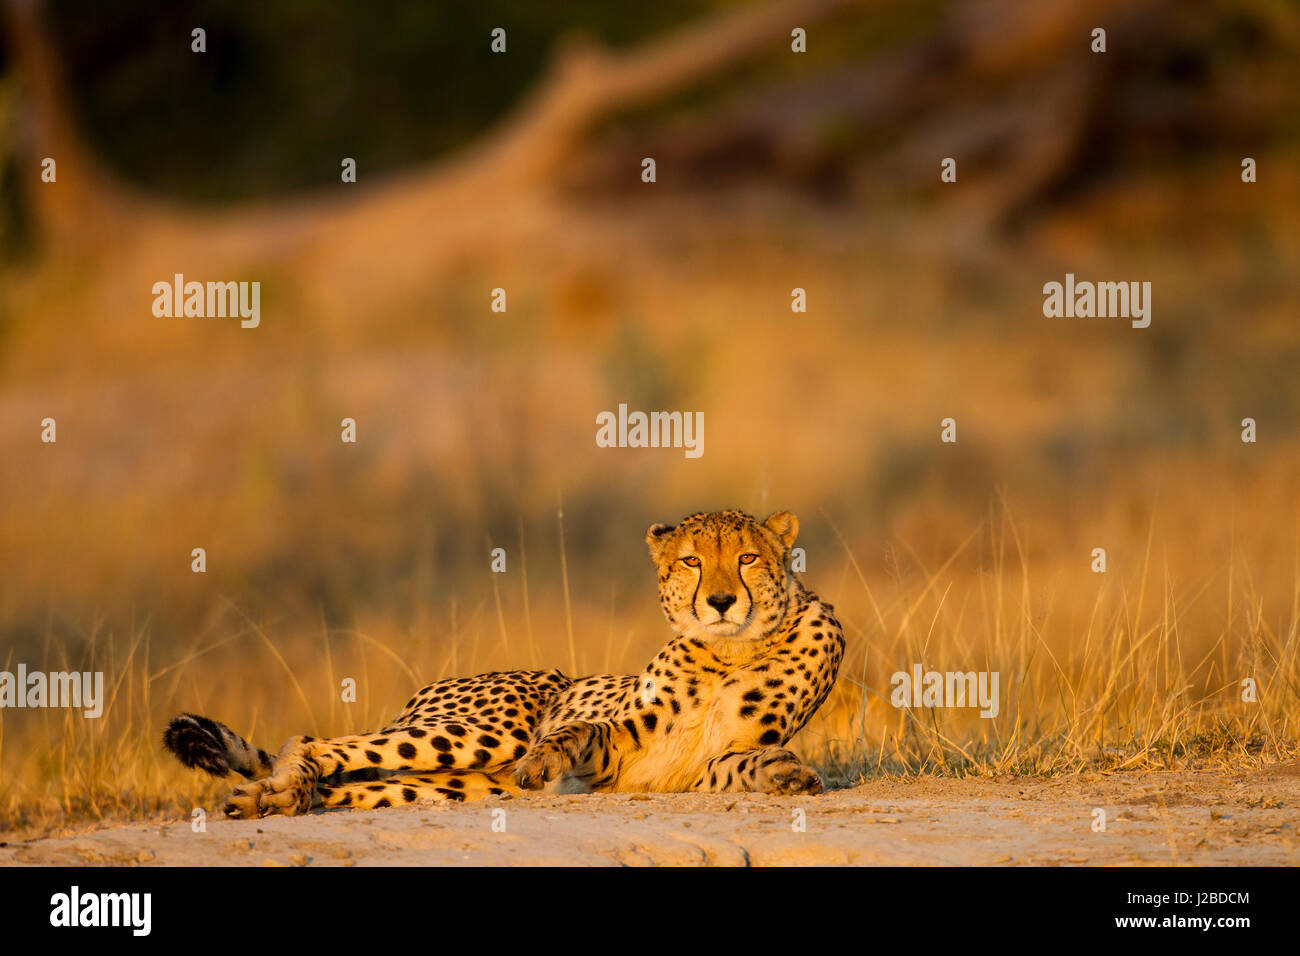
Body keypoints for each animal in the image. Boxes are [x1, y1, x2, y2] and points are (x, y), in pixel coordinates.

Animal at [163, 509, 845, 816]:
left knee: (345, 786)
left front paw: (785, 773)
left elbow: (741, 760)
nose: (722, 601)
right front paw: (546, 758)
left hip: (452, 783)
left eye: (748, 557)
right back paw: (281, 790)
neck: (731, 650)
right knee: (311, 742)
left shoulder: (695, 770)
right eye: (691, 561)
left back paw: (271, 799)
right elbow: (576, 731)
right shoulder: (611, 748)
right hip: (481, 734)